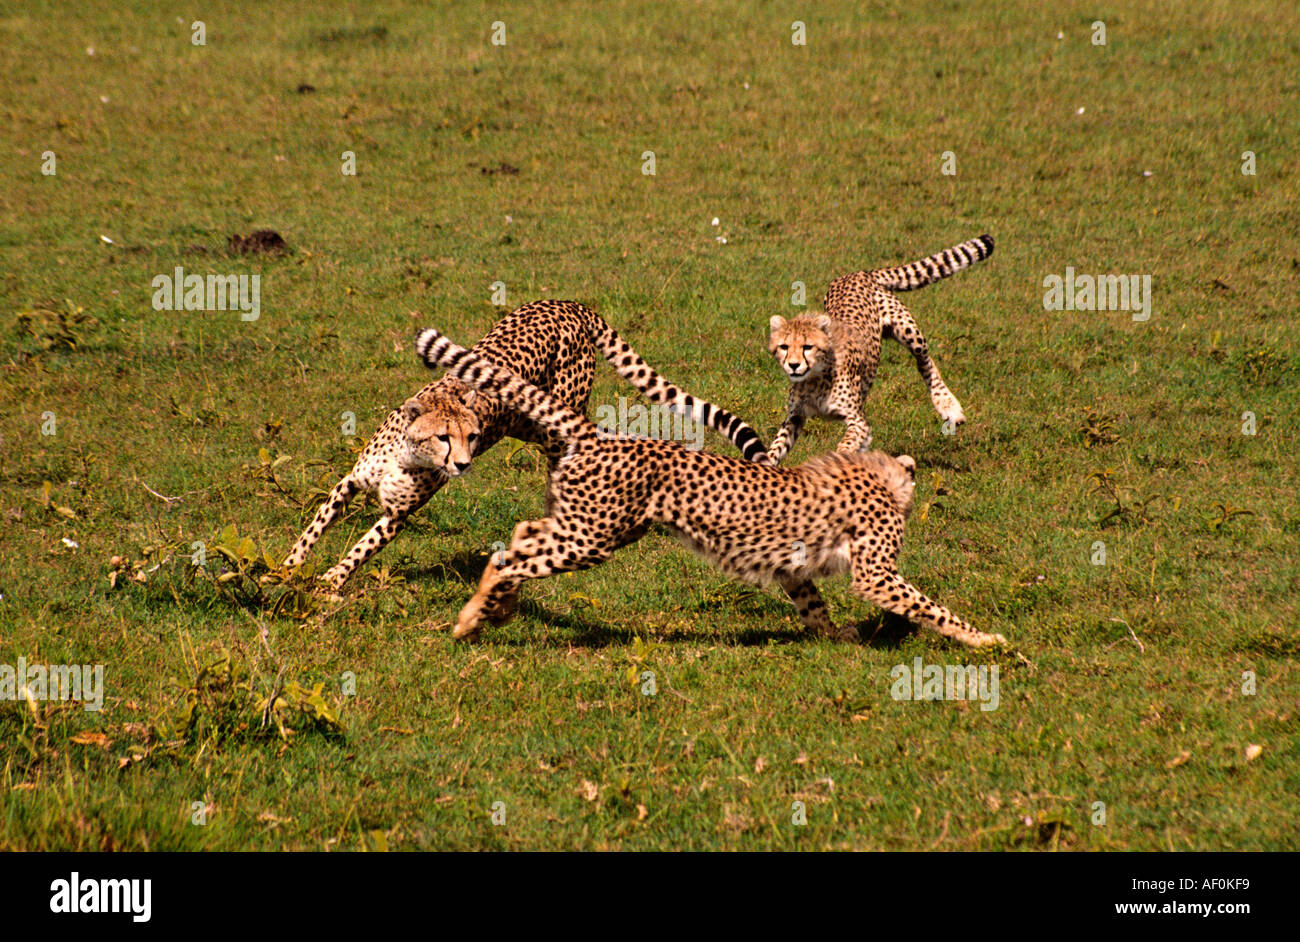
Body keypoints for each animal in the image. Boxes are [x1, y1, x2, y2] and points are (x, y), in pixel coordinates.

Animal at [284, 299, 771, 591]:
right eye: (444, 437)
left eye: (471, 436)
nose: (463, 465)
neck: (406, 456)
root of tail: (571, 304)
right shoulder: (349, 483)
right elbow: (314, 526)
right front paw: (288, 567)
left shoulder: (396, 516)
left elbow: (359, 551)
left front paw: (330, 584)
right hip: (528, 422)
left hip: (557, 417)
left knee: (582, 440)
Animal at [414, 326, 1008, 649]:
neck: (875, 475)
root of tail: (600, 433)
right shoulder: (875, 574)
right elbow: (932, 609)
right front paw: (987, 641)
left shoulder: (792, 565)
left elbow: (814, 604)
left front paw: (834, 636)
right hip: (591, 538)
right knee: (508, 558)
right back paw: (471, 619)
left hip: (590, 527)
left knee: (520, 533)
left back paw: (497, 609)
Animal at [766, 234, 994, 462]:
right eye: (784, 347)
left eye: (807, 347)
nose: (793, 365)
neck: (814, 378)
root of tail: (857, 273)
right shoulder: (795, 417)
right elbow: (775, 448)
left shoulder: (858, 421)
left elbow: (846, 445)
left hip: (908, 330)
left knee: (925, 361)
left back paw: (948, 405)